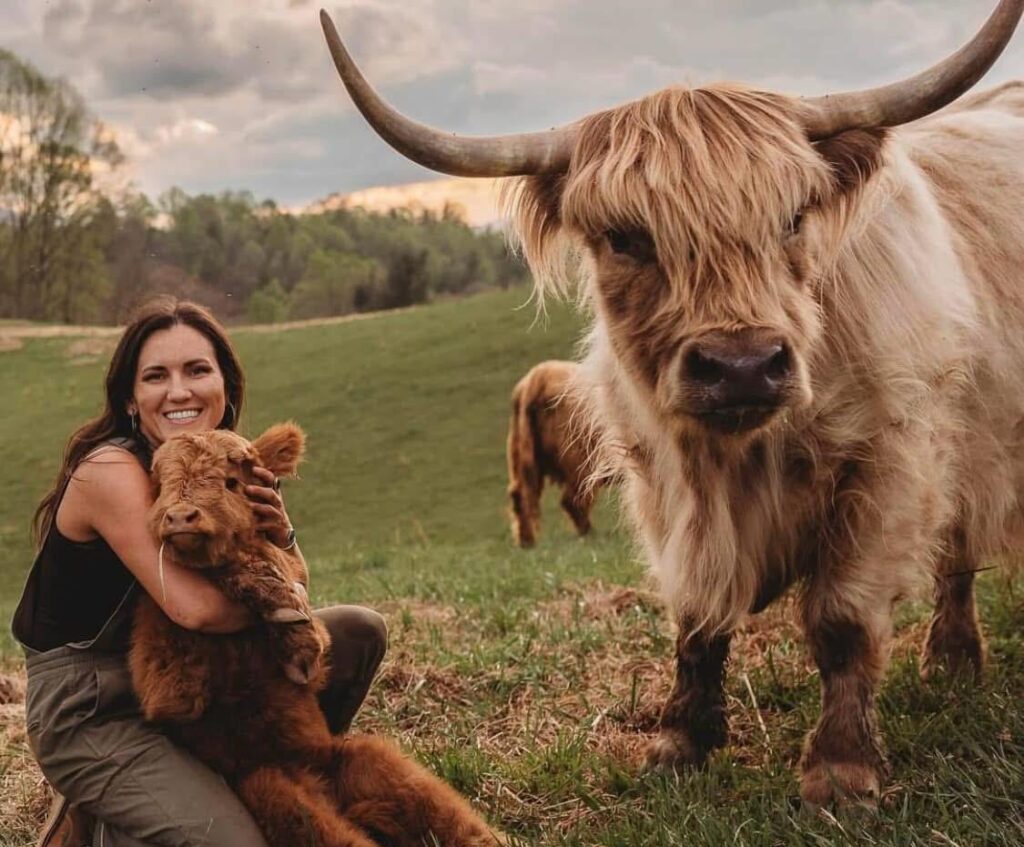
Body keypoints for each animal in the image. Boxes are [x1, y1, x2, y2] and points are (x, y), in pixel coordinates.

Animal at [130, 424, 501, 846]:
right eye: (160, 486)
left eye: (231, 482)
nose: (180, 517)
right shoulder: (167, 682)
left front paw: (293, 627)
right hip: (273, 787)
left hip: (367, 761)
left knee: (444, 812)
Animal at [507, 360, 605, 547]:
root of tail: (537, 378)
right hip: (580, 459)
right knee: (572, 500)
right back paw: (591, 535)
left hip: (523, 457)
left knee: (521, 496)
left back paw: (526, 542)